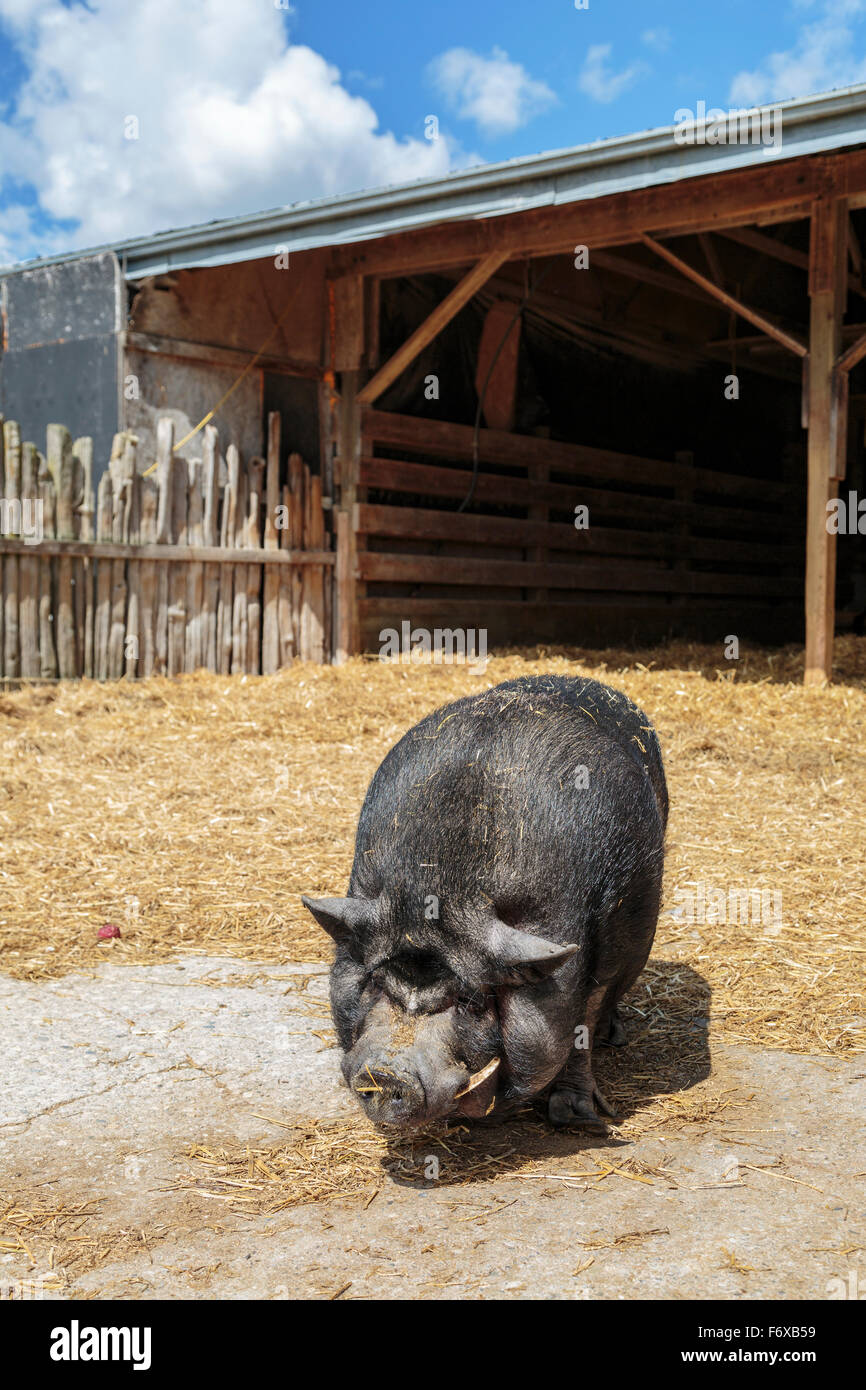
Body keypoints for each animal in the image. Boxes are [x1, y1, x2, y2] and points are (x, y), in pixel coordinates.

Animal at [303, 674, 667, 1132]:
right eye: (376, 982)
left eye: (470, 1001)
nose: (387, 1074)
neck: (440, 880)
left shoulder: (610, 943)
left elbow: (583, 1018)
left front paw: (575, 1119)